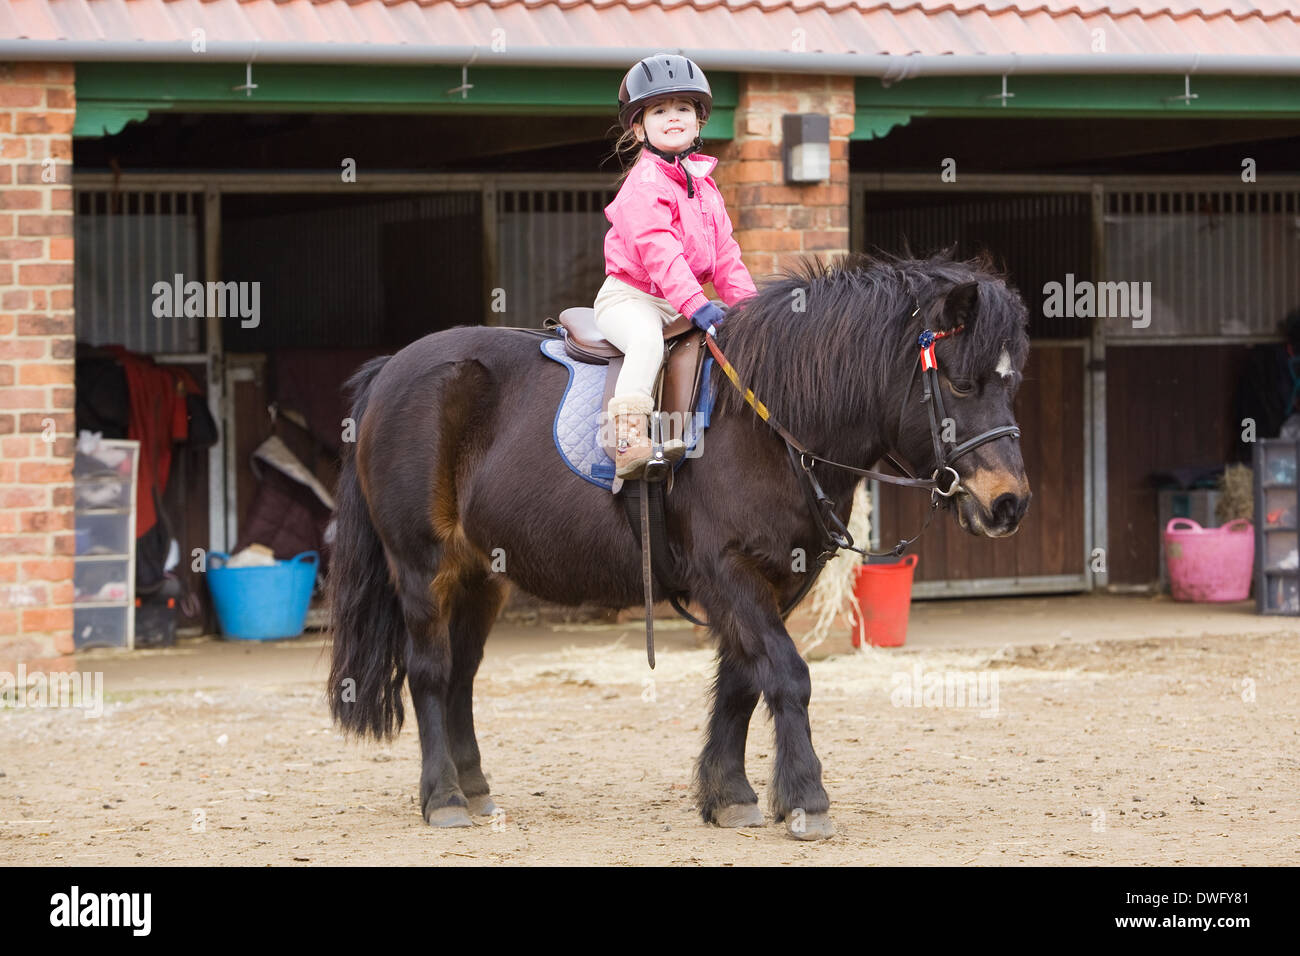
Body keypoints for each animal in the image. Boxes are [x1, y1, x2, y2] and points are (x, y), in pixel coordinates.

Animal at [326, 251, 1031, 840]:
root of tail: (391, 369)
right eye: (962, 384)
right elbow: (788, 675)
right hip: (424, 566)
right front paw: (806, 799)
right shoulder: (728, 573)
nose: (1009, 503)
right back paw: (443, 798)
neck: (767, 421)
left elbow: (742, 683)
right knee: (429, 670)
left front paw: (730, 795)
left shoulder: (773, 580)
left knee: (463, 675)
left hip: (482, 573)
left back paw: (473, 790)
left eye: (1011, 382)